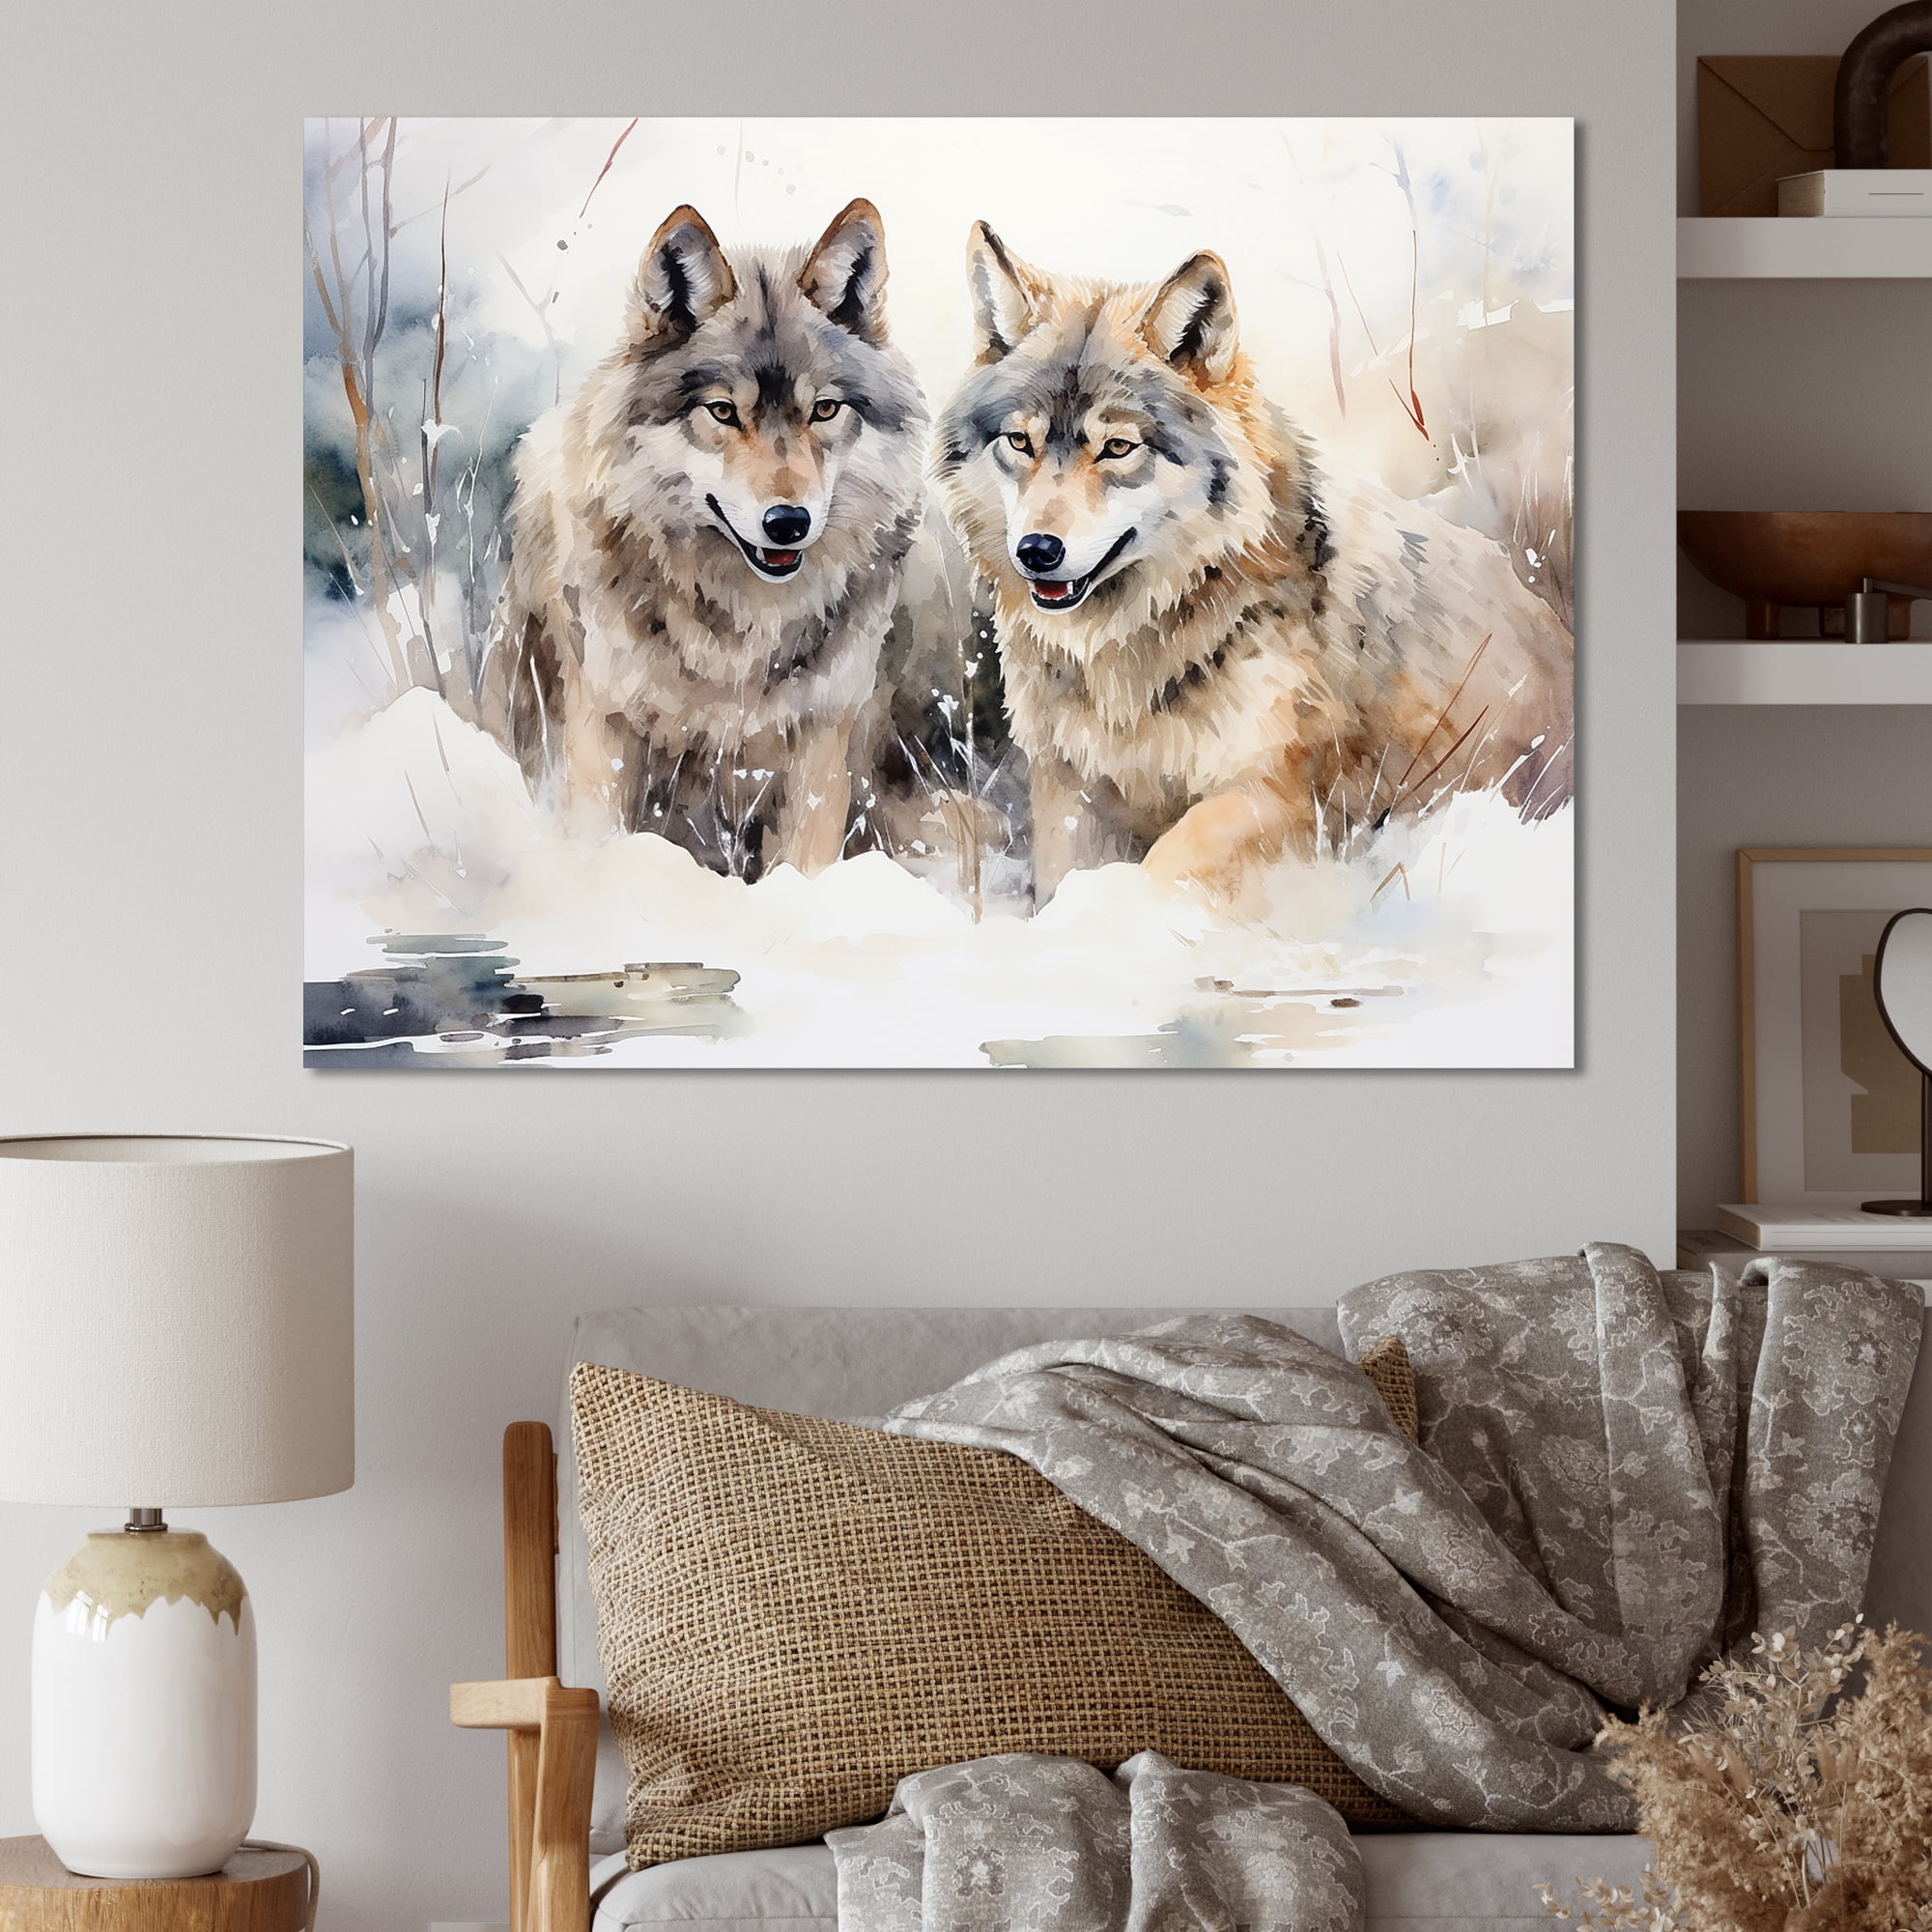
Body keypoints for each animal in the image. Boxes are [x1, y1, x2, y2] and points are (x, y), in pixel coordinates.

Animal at [481, 199, 927, 879]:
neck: (740, 628)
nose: (788, 522)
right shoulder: (602, 725)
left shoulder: (823, 738)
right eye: (722, 412)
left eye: (824, 411)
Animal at [934, 224, 1574, 904]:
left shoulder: (1272, 793)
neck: (1130, 654)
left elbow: (1161, 867)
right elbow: (1067, 881)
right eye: (1019, 442)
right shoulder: (1072, 796)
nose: (1036, 551)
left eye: (1117, 448)